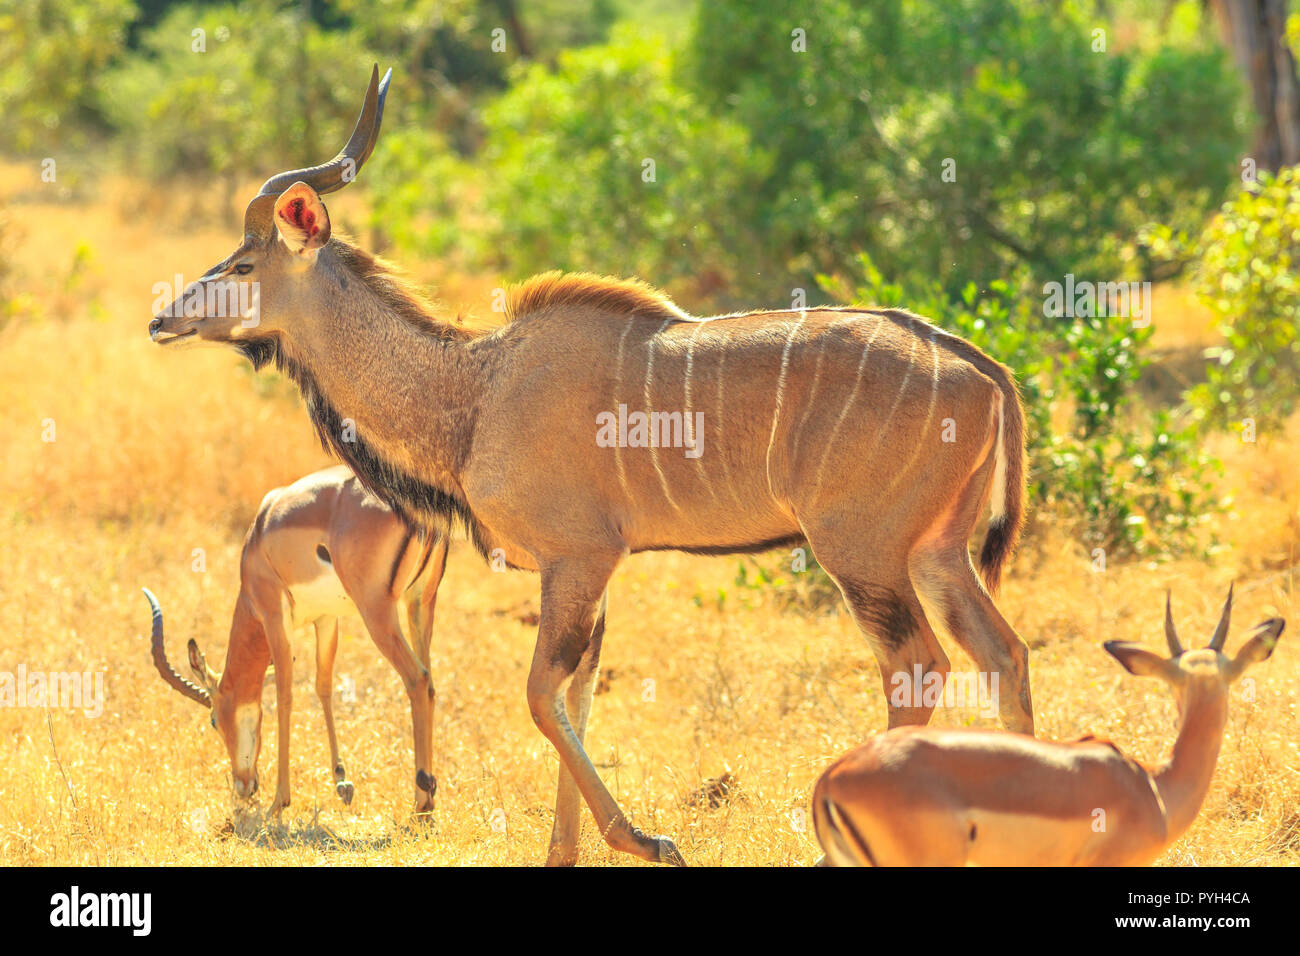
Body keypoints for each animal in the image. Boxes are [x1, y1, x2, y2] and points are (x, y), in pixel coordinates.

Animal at [146, 465, 448, 815]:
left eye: (213, 721)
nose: (243, 786)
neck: (259, 537)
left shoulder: (273, 614)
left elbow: (285, 695)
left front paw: (279, 802)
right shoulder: (326, 618)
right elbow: (323, 685)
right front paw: (342, 782)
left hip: (377, 612)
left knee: (417, 678)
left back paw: (422, 798)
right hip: (420, 603)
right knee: (430, 681)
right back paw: (429, 794)